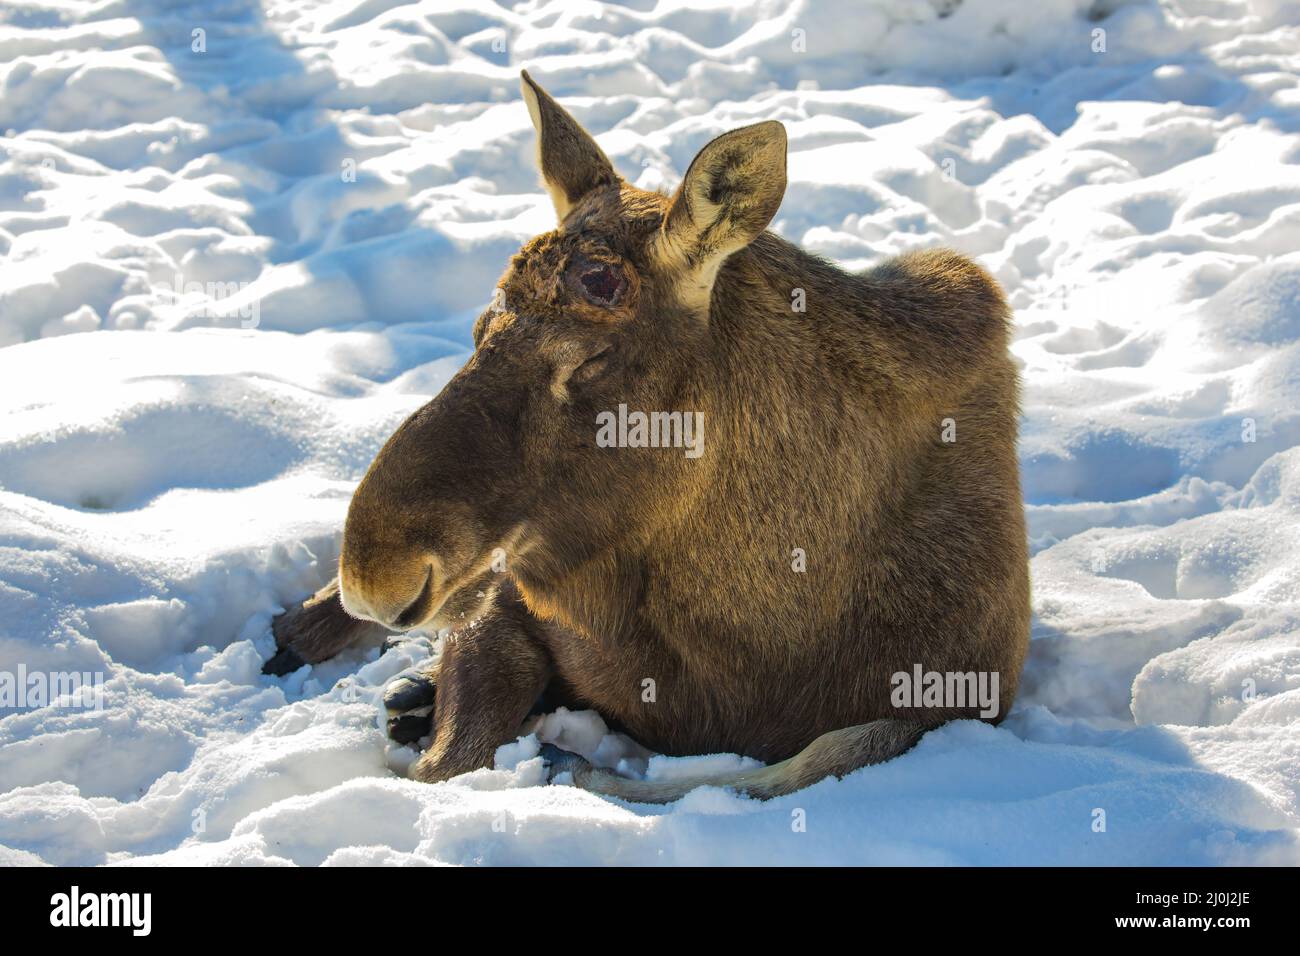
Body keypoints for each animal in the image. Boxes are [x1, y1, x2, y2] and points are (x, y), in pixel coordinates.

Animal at [262, 71, 1031, 803]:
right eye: (480, 329)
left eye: (592, 359)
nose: (375, 571)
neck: (759, 643)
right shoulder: (516, 602)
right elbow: (450, 764)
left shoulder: (961, 692)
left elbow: (827, 751)